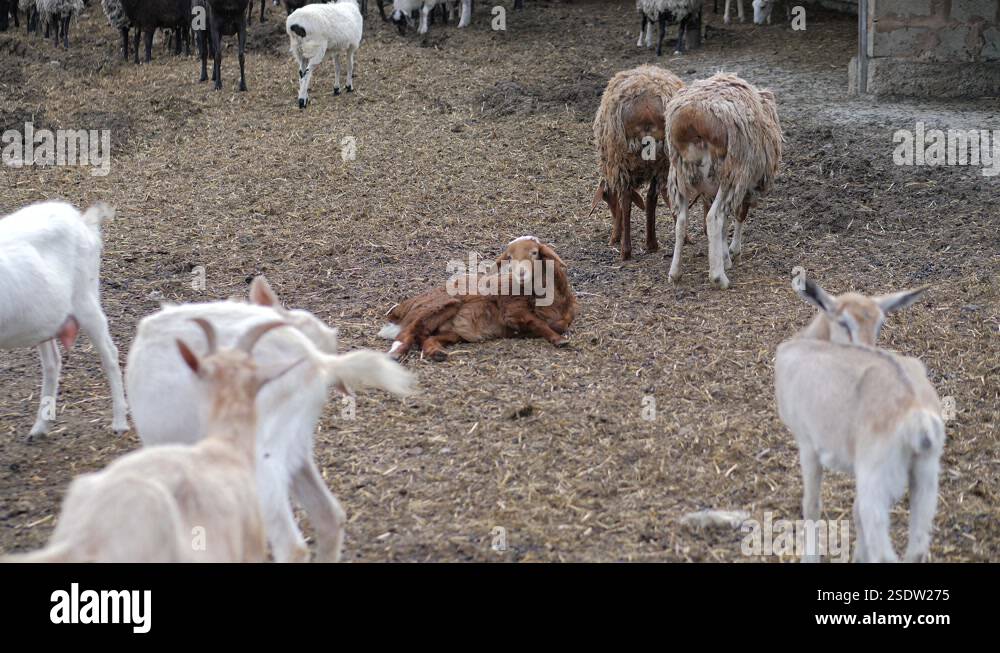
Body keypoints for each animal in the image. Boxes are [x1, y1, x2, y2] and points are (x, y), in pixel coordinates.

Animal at [0, 202, 129, 439]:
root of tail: (82, 220)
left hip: (86, 300)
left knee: (110, 353)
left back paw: (120, 422)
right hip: (45, 319)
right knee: (53, 362)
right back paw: (40, 427)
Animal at [379, 236, 577, 361]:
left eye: (534, 252)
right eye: (509, 257)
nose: (520, 273)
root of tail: (402, 307)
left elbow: (560, 323)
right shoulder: (512, 310)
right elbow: (539, 322)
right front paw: (559, 340)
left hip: (451, 331)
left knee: (425, 336)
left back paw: (436, 353)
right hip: (439, 304)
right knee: (409, 330)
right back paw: (396, 353)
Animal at [592, 64, 684, 261]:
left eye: (607, 199)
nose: (614, 237)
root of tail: (647, 107)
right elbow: (651, 199)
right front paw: (651, 243)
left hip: (621, 160)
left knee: (626, 200)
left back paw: (625, 251)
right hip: (664, 160)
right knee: (664, 194)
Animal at [664, 72, 782, 289]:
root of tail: (693, 119)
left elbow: (725, 222)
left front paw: (725, 254)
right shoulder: (745, 185)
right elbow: (737, 216)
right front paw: (732, 252)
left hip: (679, 176)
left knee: (682, 220)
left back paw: (675, 273)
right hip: (730, 175)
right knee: (713, 217)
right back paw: (719, 277)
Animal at [775, 277, 943, 563]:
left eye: (880, 324)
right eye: (844, 323)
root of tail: (916, 414)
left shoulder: (807, 445)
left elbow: (811, 505)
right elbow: (854, 514)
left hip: (876, 478)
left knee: (885, 553)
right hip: (925, 476)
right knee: (917, 548)